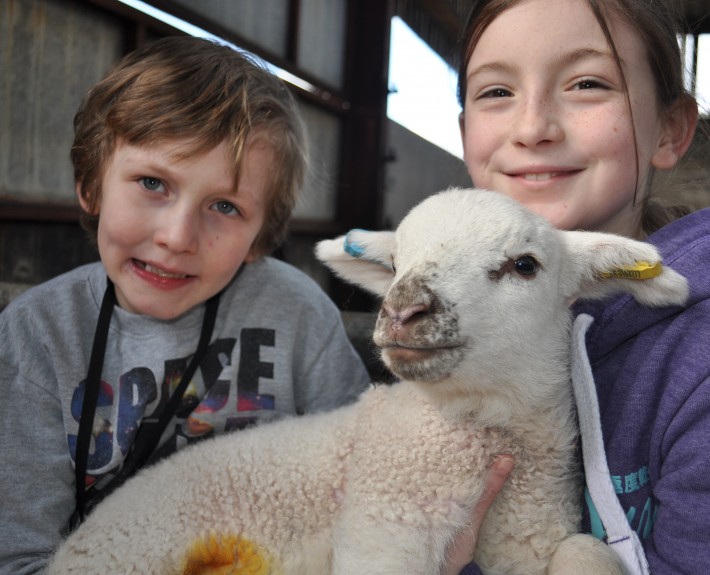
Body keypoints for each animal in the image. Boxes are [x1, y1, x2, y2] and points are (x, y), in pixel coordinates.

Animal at [48, 187, 688, 575]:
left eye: (525, 265)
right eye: (397, 262)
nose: (403, 309)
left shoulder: (527, 533)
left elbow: (585, 551)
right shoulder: (384, 520)